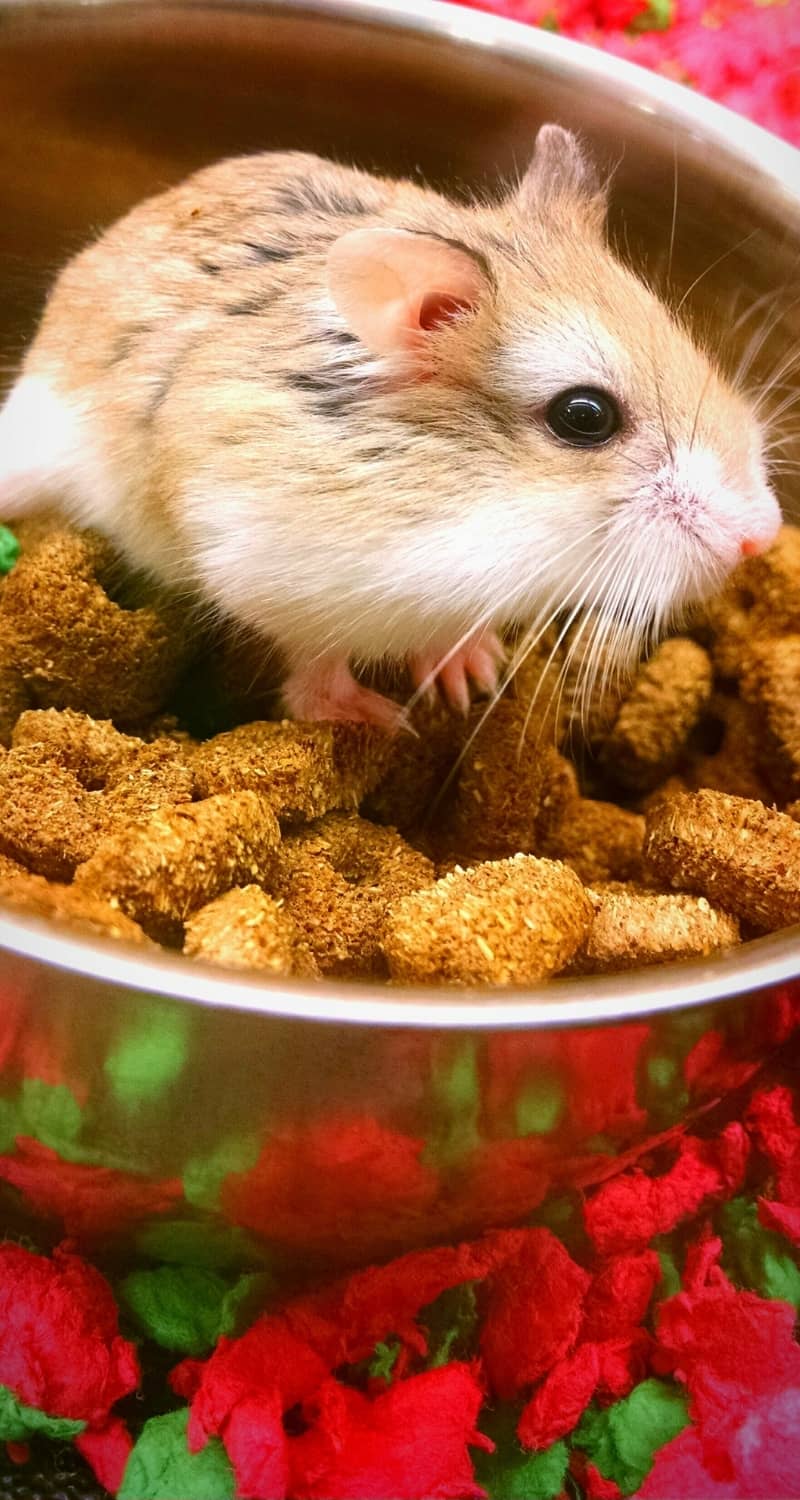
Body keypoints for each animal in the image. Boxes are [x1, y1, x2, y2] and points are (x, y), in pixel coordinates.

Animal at [0, 125, 781, 729]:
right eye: (584, 417)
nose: (761, 536)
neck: (482, 501)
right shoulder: (280, 575)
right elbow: (315, 667)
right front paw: (380, 721)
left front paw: (473, 675)